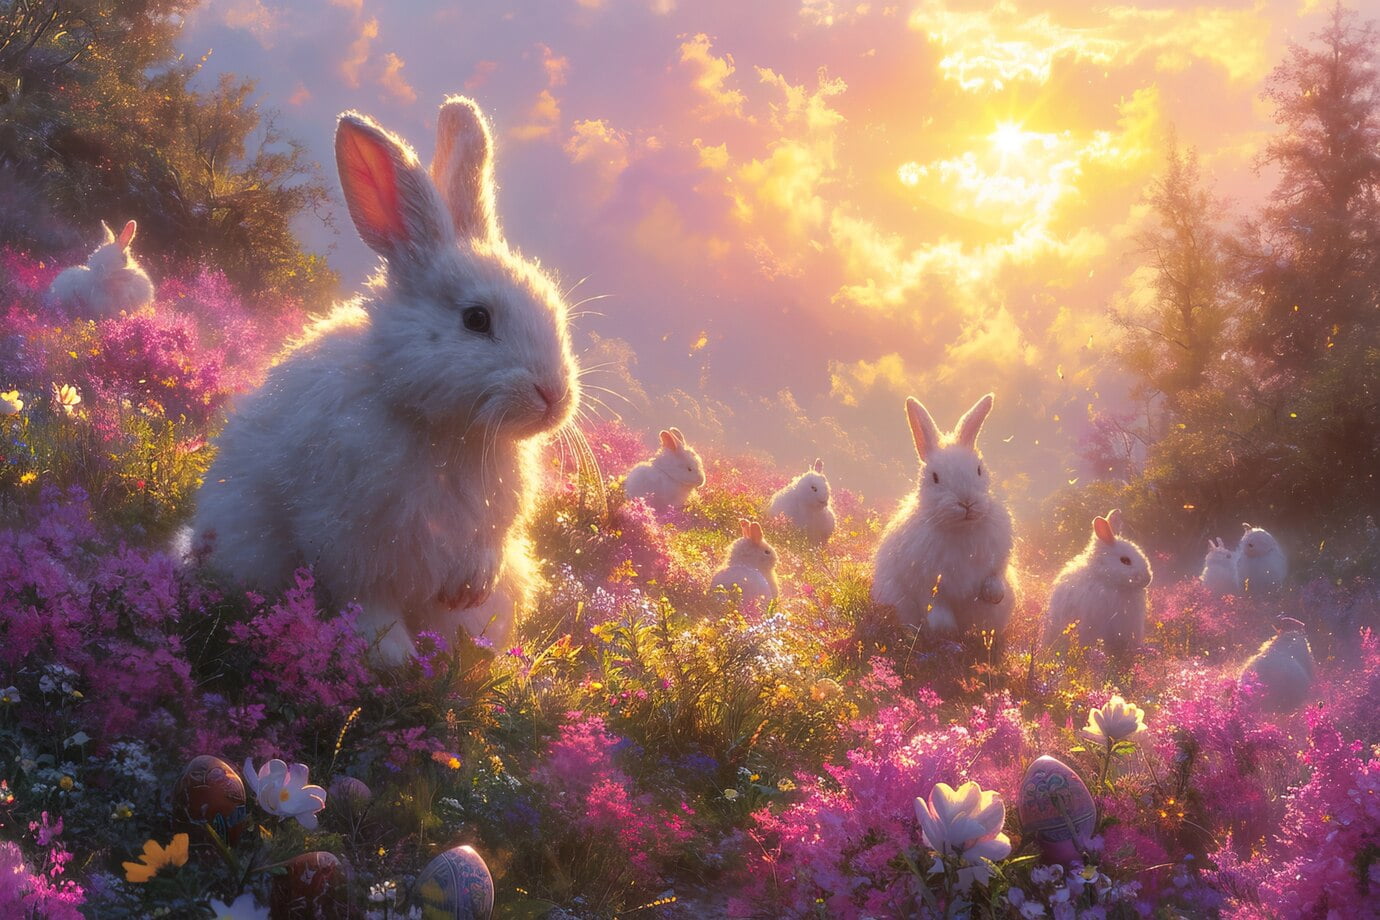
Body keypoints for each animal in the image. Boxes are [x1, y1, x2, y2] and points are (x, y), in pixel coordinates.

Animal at [192, 96, 579, 665]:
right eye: (476, 319)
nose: (553, 397)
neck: (446, 429)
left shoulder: (489, 530)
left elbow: (482, 556)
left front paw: (464, 596)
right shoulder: (350, 540)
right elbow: (369, 598)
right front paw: (393, 658)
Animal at [871, 393, 1014, 633]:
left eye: (979, 470)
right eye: (935, 477)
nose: (967, 502)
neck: (961, 529)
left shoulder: (997, 562)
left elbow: (995, 576)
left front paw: (993, 595)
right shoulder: (927, 583)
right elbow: (937, 610)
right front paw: (945, 631)